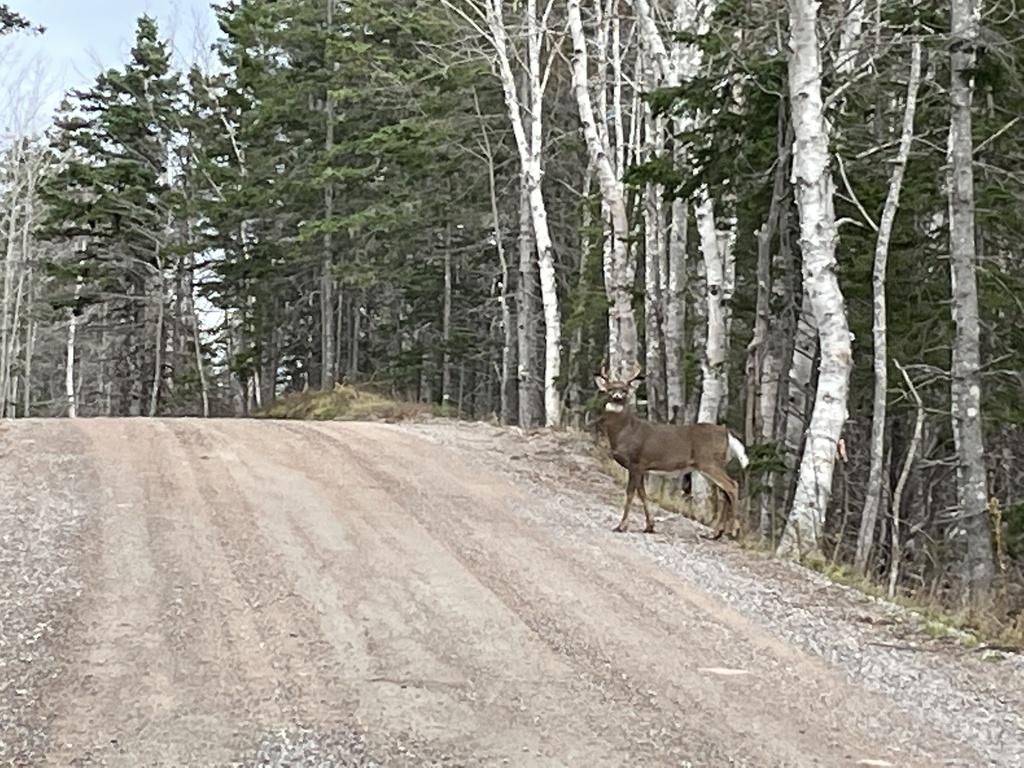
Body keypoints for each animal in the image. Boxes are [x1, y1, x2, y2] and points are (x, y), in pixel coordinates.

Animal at [595, 363, 749, 539]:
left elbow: (630, 494)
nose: (617, 397)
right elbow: (643, 494)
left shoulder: (635, 462)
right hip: (713, 465)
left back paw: (734, 530)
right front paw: (649, 526)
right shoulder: (642, 467)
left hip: (709, 462)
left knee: (732, 486)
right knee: (725, 493)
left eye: (626, 390)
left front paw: (621, 526)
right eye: (610, 389)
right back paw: (717, 533)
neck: (624, 432)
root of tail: (726, 433)